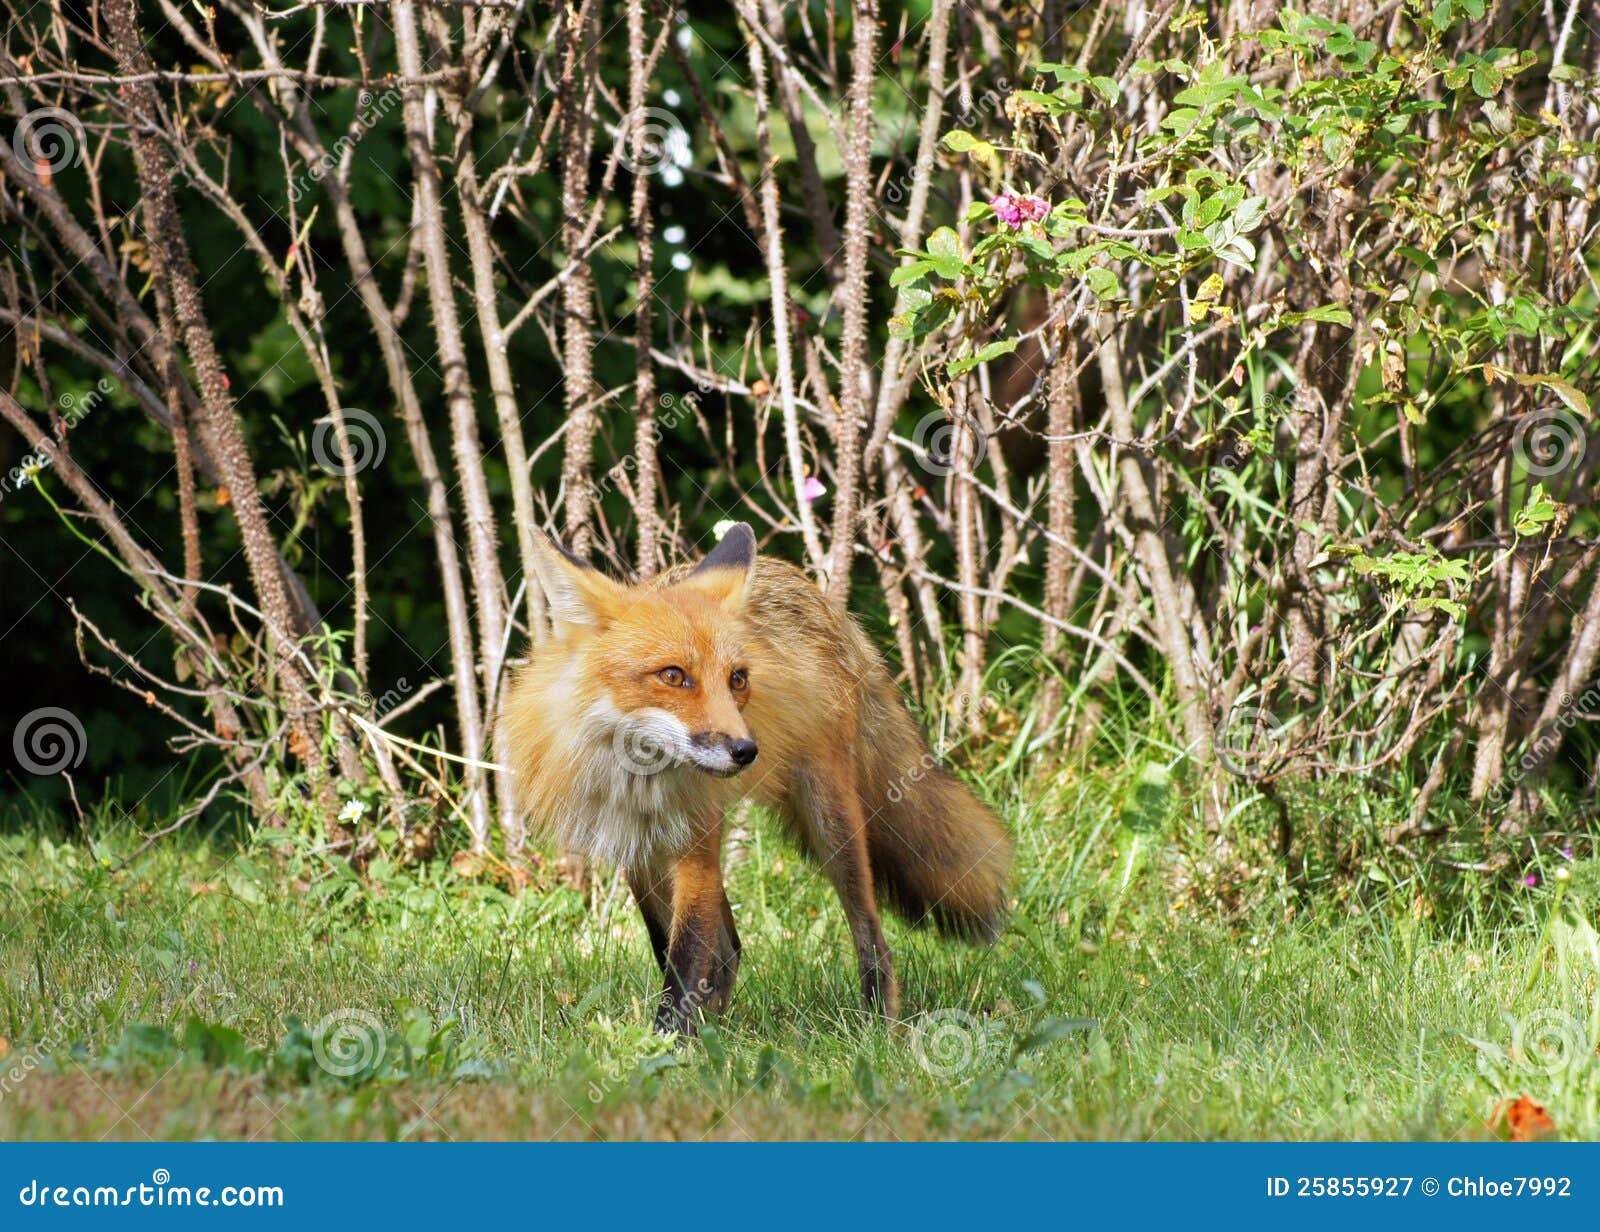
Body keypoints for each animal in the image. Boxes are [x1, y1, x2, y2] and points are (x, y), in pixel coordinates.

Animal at [501, 523, 1011, 1034]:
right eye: (673, 675)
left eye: (738, 679)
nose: (746, 751)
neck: (637, 784)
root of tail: (816, 595)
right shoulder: (638, 853)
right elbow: (673, 952)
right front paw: (680, 1040)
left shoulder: (696, 853)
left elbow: (684, 963)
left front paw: (667, 1045)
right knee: (730, 950)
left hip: (832, 822)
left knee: (870, 937)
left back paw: (876, 1027)